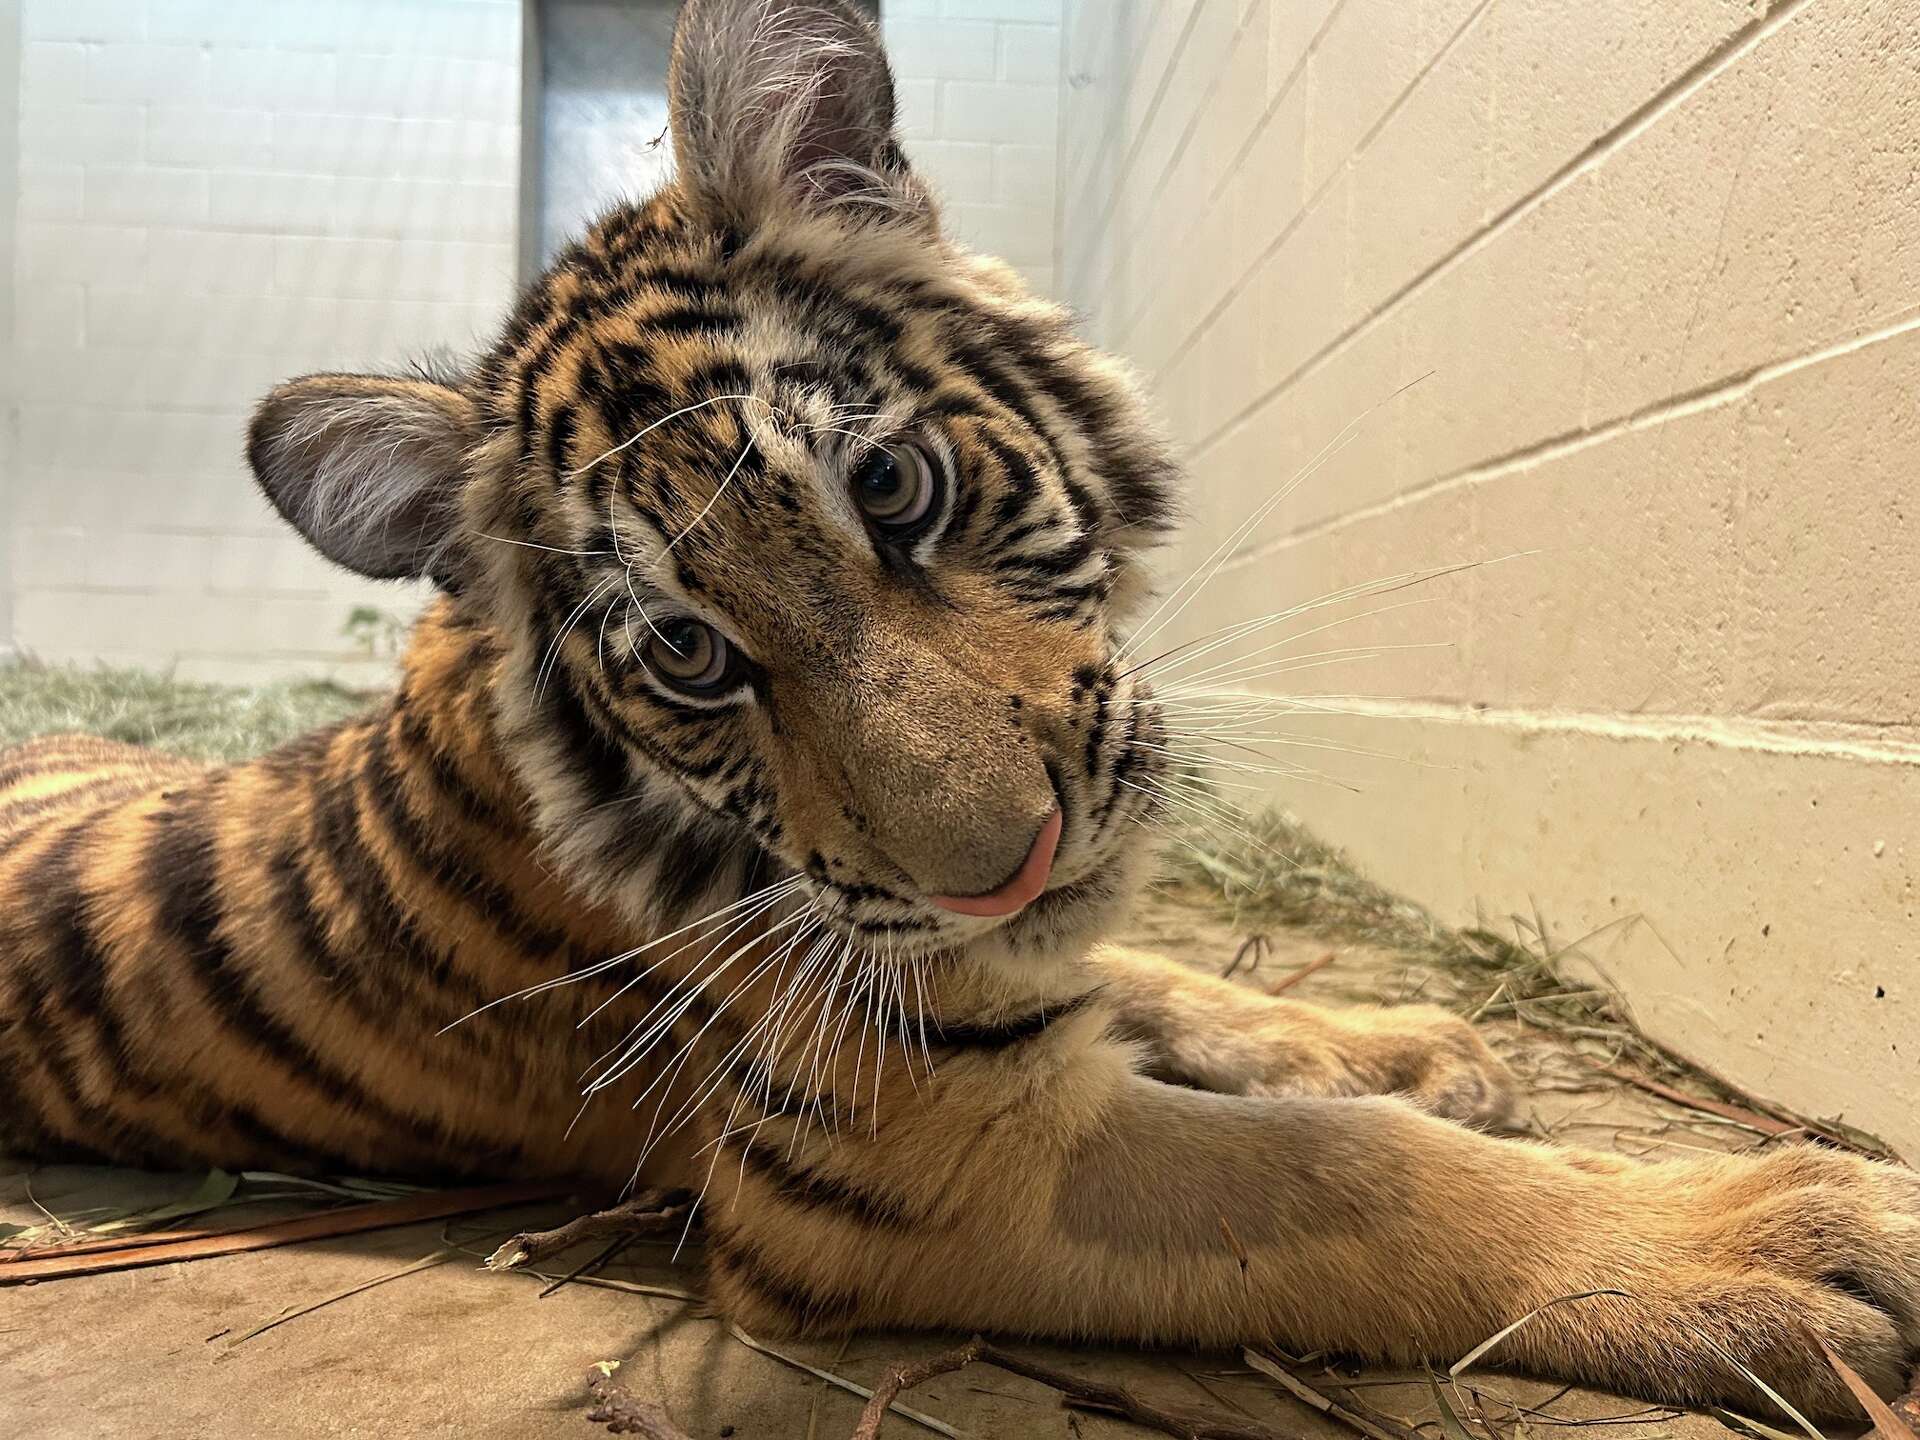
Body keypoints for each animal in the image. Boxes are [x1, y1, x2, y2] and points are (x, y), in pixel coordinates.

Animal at [0, 0, 1913, 1419]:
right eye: (685, 653)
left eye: (894, 486)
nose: (1006, 868)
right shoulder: (908, 1168)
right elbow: (1338, 1182)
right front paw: (1776, 1235)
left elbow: (1173, 984)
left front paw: (1407, 1045)